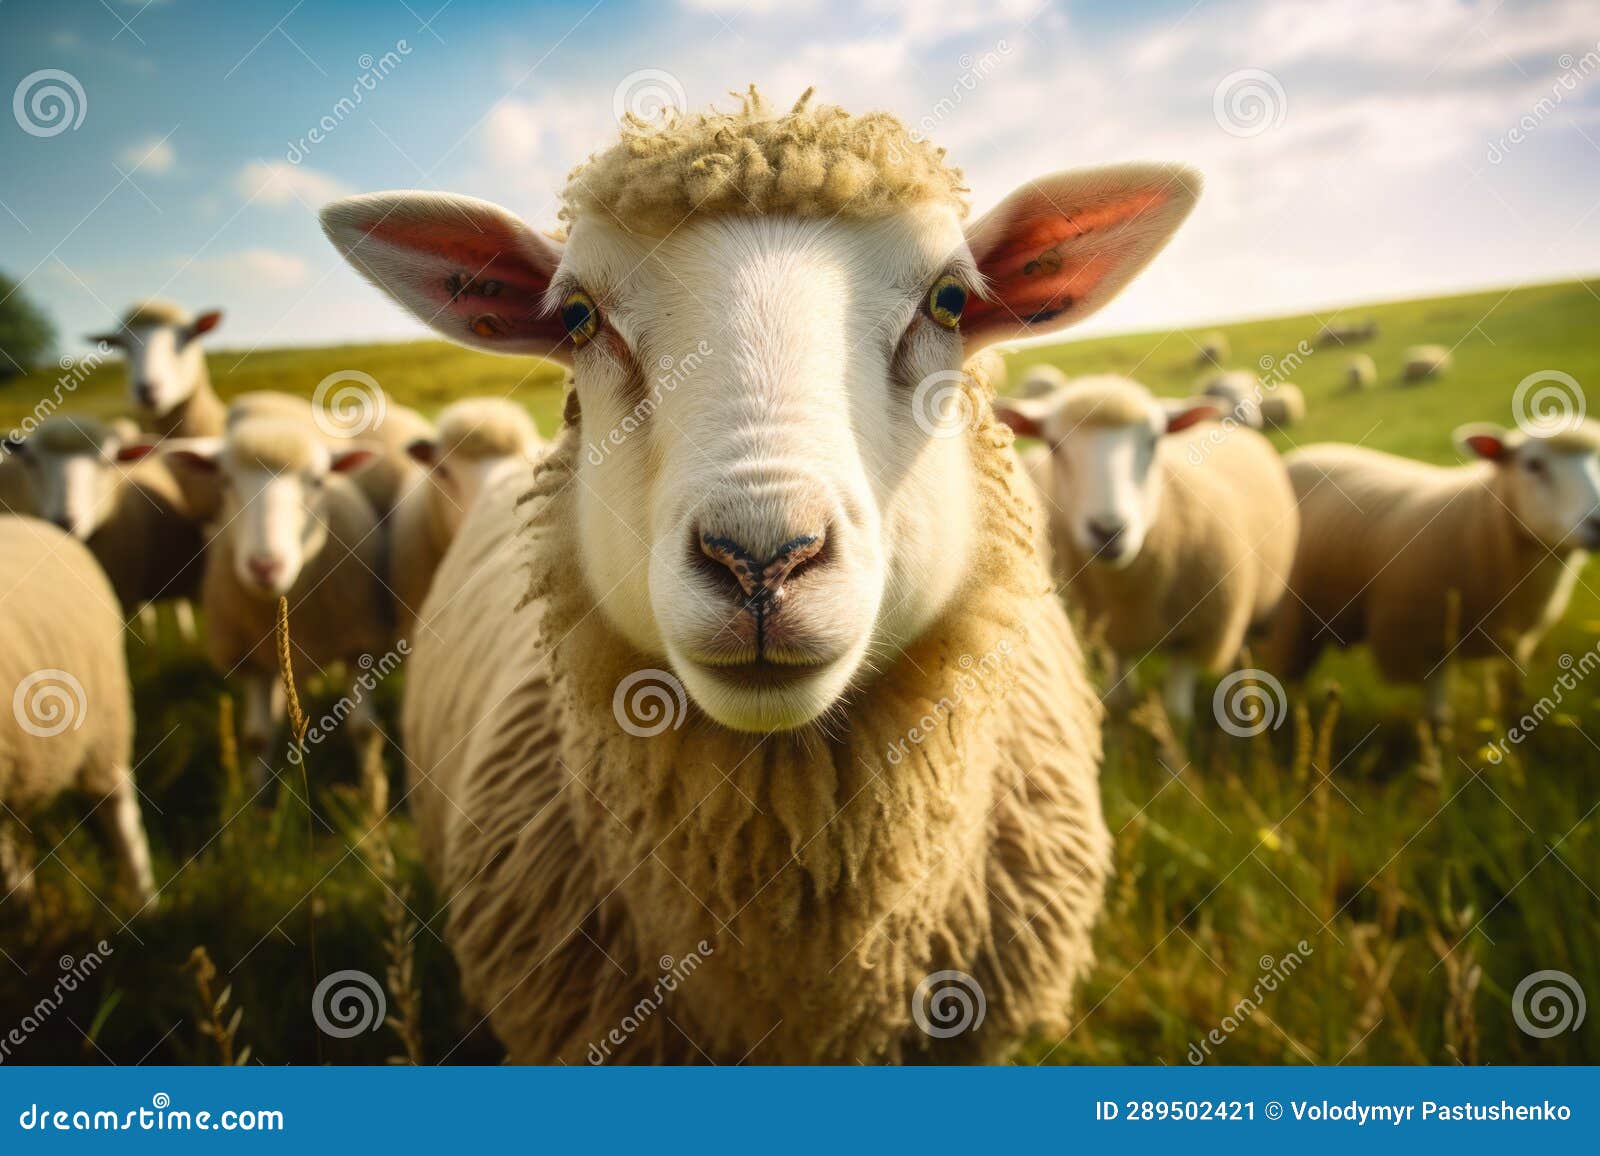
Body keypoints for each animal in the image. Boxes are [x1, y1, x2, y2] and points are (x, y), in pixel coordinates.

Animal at [163, 418, 392, 767]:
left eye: (317, 481)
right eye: (225, 480)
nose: (265, 567)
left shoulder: (359, 645)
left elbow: (363, 731)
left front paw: (372, 783)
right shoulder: (250, 662)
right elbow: (258, 739)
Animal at [994, 377, 1299, 722]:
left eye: (1154, 441)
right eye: (1053, 445)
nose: (1108, 530)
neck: (1126, 593)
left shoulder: (1198, 634)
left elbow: (1177, 708)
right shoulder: (1111, 630)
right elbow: (1119, 690)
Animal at [1261, 421, 1600, 723]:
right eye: (1533, 465)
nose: (1597, 521)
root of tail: (1299, 454)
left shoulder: (1517, 642)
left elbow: (1513, 697)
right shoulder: (1423, 642)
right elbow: (1437, 719)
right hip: (1288, 621)